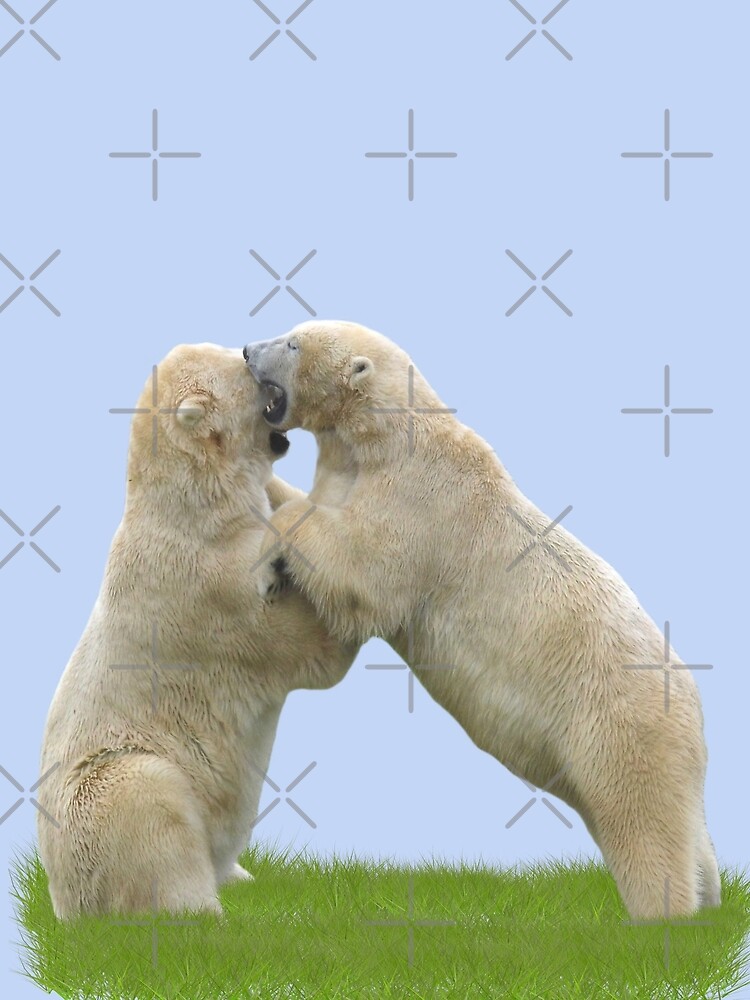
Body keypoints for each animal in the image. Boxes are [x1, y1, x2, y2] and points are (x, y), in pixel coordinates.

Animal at [37, 343, 358, 918]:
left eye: (235, 350)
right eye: (243, 368)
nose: (252, 348)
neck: (197, 505)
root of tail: (64, 905)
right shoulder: (209, 590)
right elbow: (309, 651)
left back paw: (241, 877)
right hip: (103, 795)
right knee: (149, 802)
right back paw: (207, 910)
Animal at [243, 320, 720, 920]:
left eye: (292, 343)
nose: (246, 350)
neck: (382, 436)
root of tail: (694, 706)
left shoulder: (418, 500)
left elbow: (361, 568)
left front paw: (270, 559)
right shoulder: (350, 470)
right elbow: (313, 503)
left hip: (617, 725)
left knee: (643, 826)